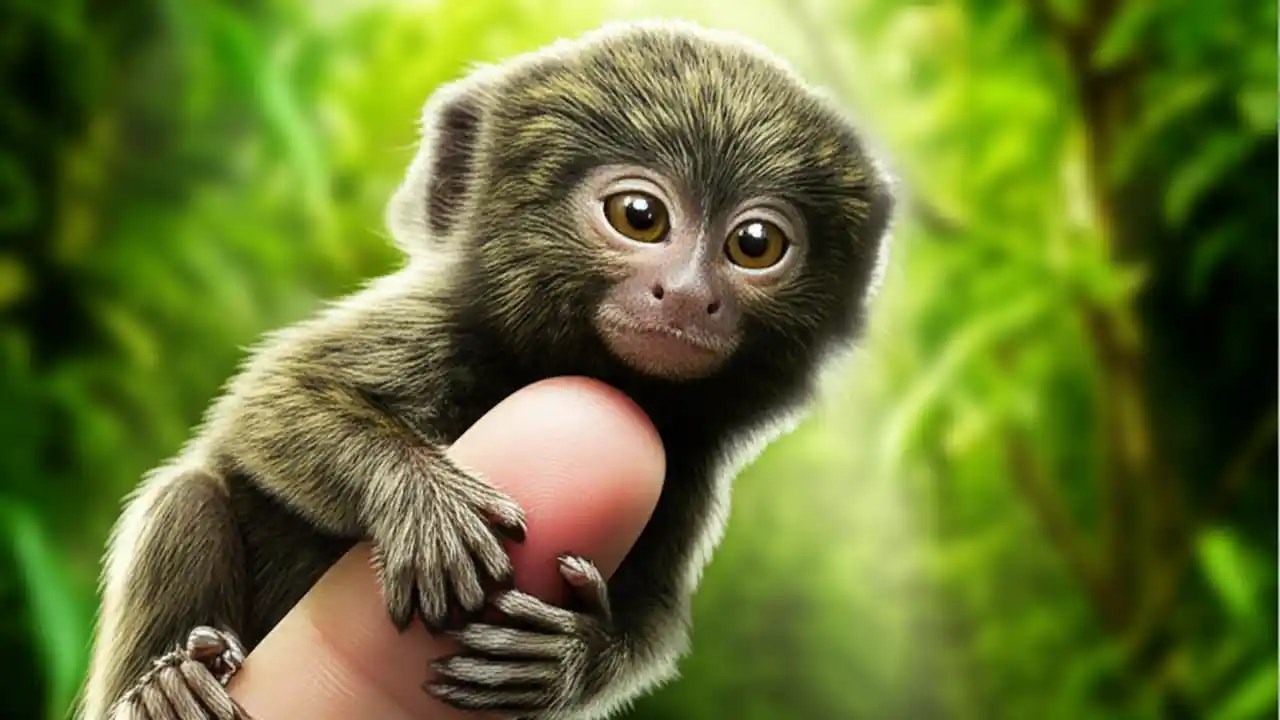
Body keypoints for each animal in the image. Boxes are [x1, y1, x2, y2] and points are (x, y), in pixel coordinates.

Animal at [80, 19, 894, 720]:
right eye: (640, 216)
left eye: (755, 244)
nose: (692, 295)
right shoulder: (441, 330)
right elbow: (275, 403)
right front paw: (421, 500)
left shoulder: (689, 467)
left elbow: (652, 615)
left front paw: (570, 655)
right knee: (190, 500)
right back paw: (167, 688)